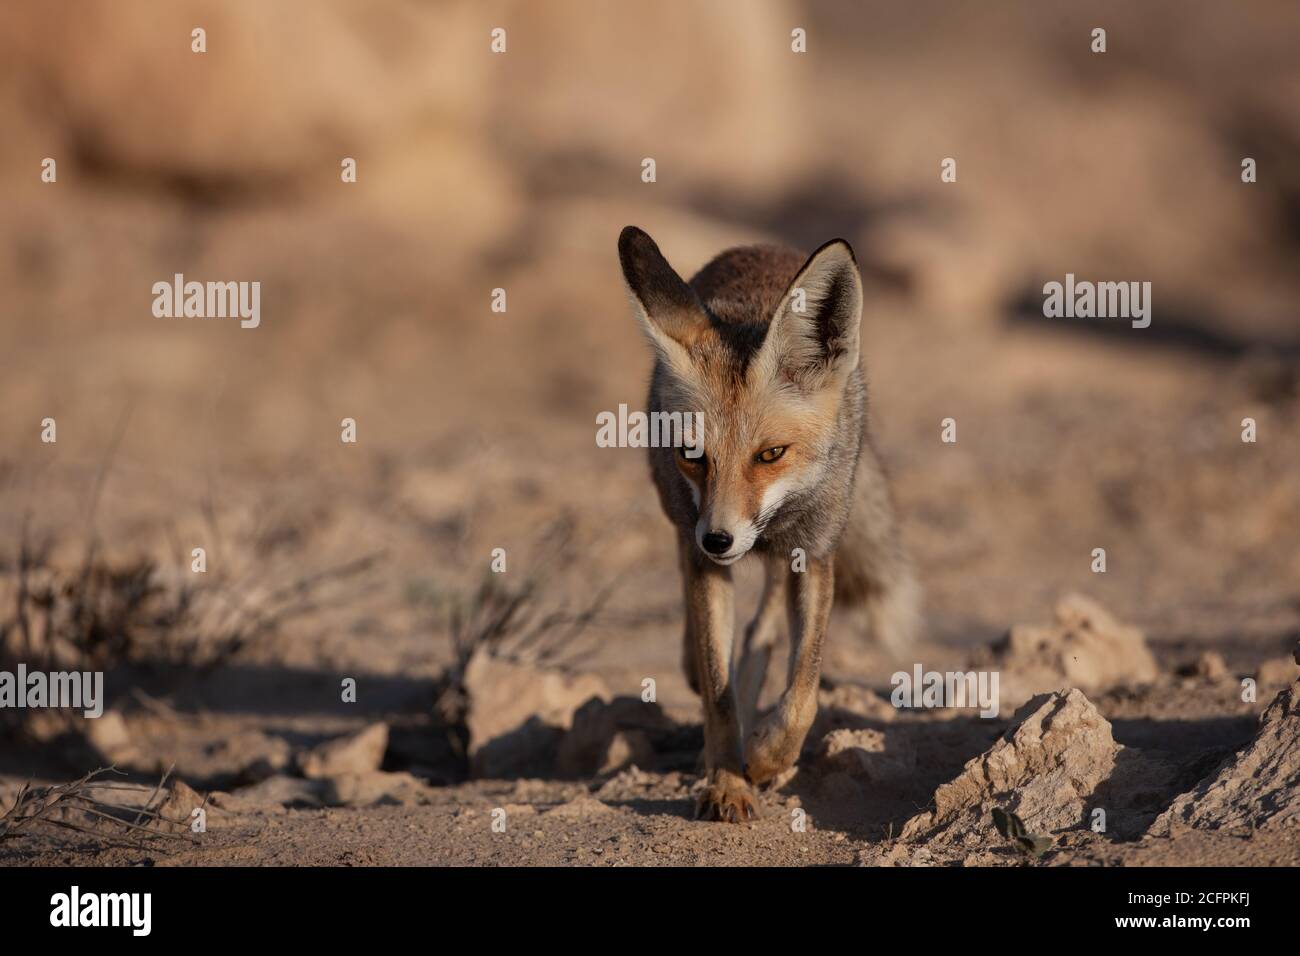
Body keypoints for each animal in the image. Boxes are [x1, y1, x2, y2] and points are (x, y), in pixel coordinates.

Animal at [617, 226, 920, 823]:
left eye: (771, 454)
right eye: (693, 455)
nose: (719, 538)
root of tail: (757, 246)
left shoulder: (816, 554)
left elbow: (802, 693)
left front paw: (762, 758)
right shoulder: (701, 553)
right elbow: (718, 692)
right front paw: (727, 783)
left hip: (788, 554)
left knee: (764, 630)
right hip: (680, 520)